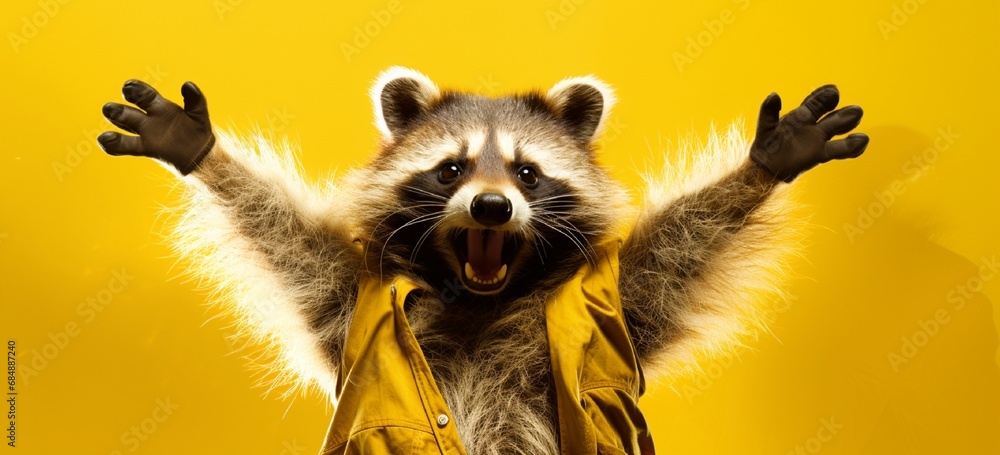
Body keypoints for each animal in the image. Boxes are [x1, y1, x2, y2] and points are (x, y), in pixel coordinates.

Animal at [98, 68, 868, 454]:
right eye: (452, 169)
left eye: (527, 173)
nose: (492, 208)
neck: (479, 297)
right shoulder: (345, 302)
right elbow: (278, 233)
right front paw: (200, 149)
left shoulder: (624, 304)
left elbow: (687, 243)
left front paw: (763, 165)